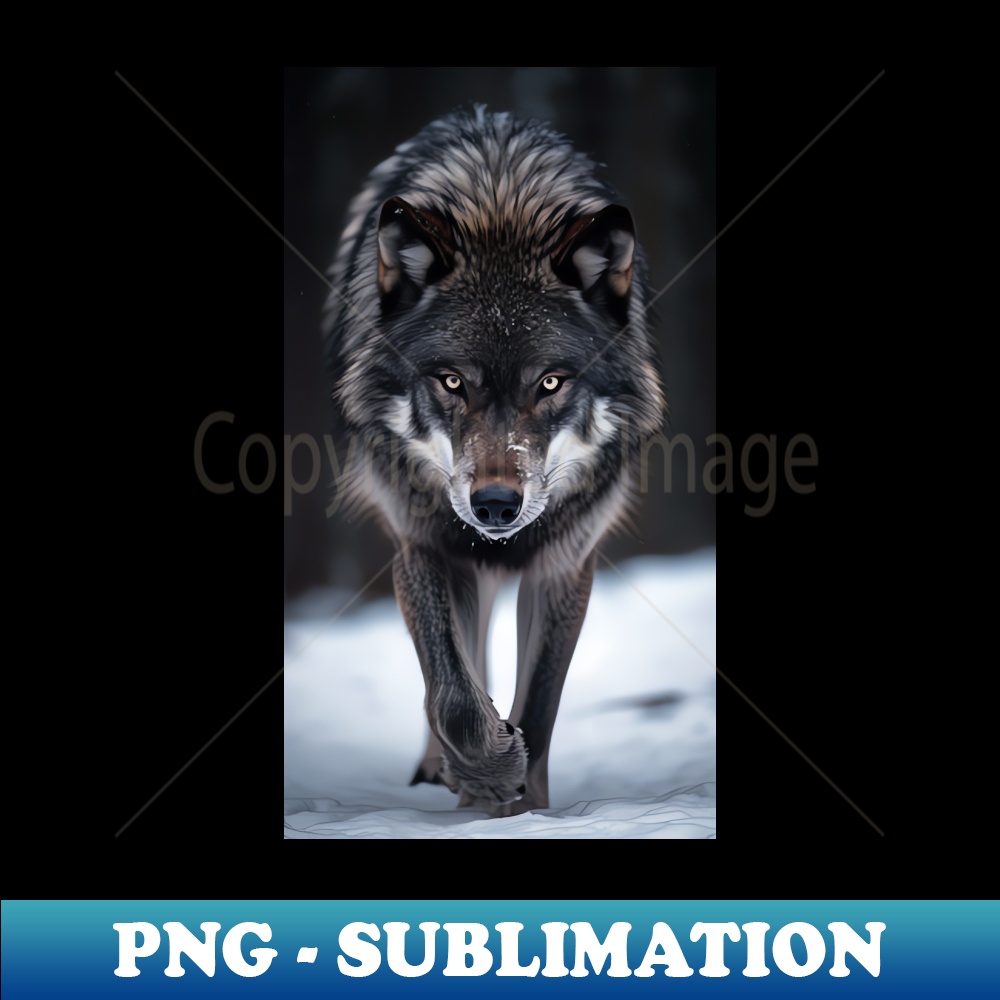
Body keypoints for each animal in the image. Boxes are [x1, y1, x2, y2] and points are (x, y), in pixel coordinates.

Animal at [323, 104, 665, 816]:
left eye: (550, 383)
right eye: (453, 382)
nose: (497, 505)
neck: (500, 203)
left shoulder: (565, 564)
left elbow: (540, 704)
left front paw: (520, 801)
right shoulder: (425, 545)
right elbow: (453, 693)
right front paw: (485, 776)